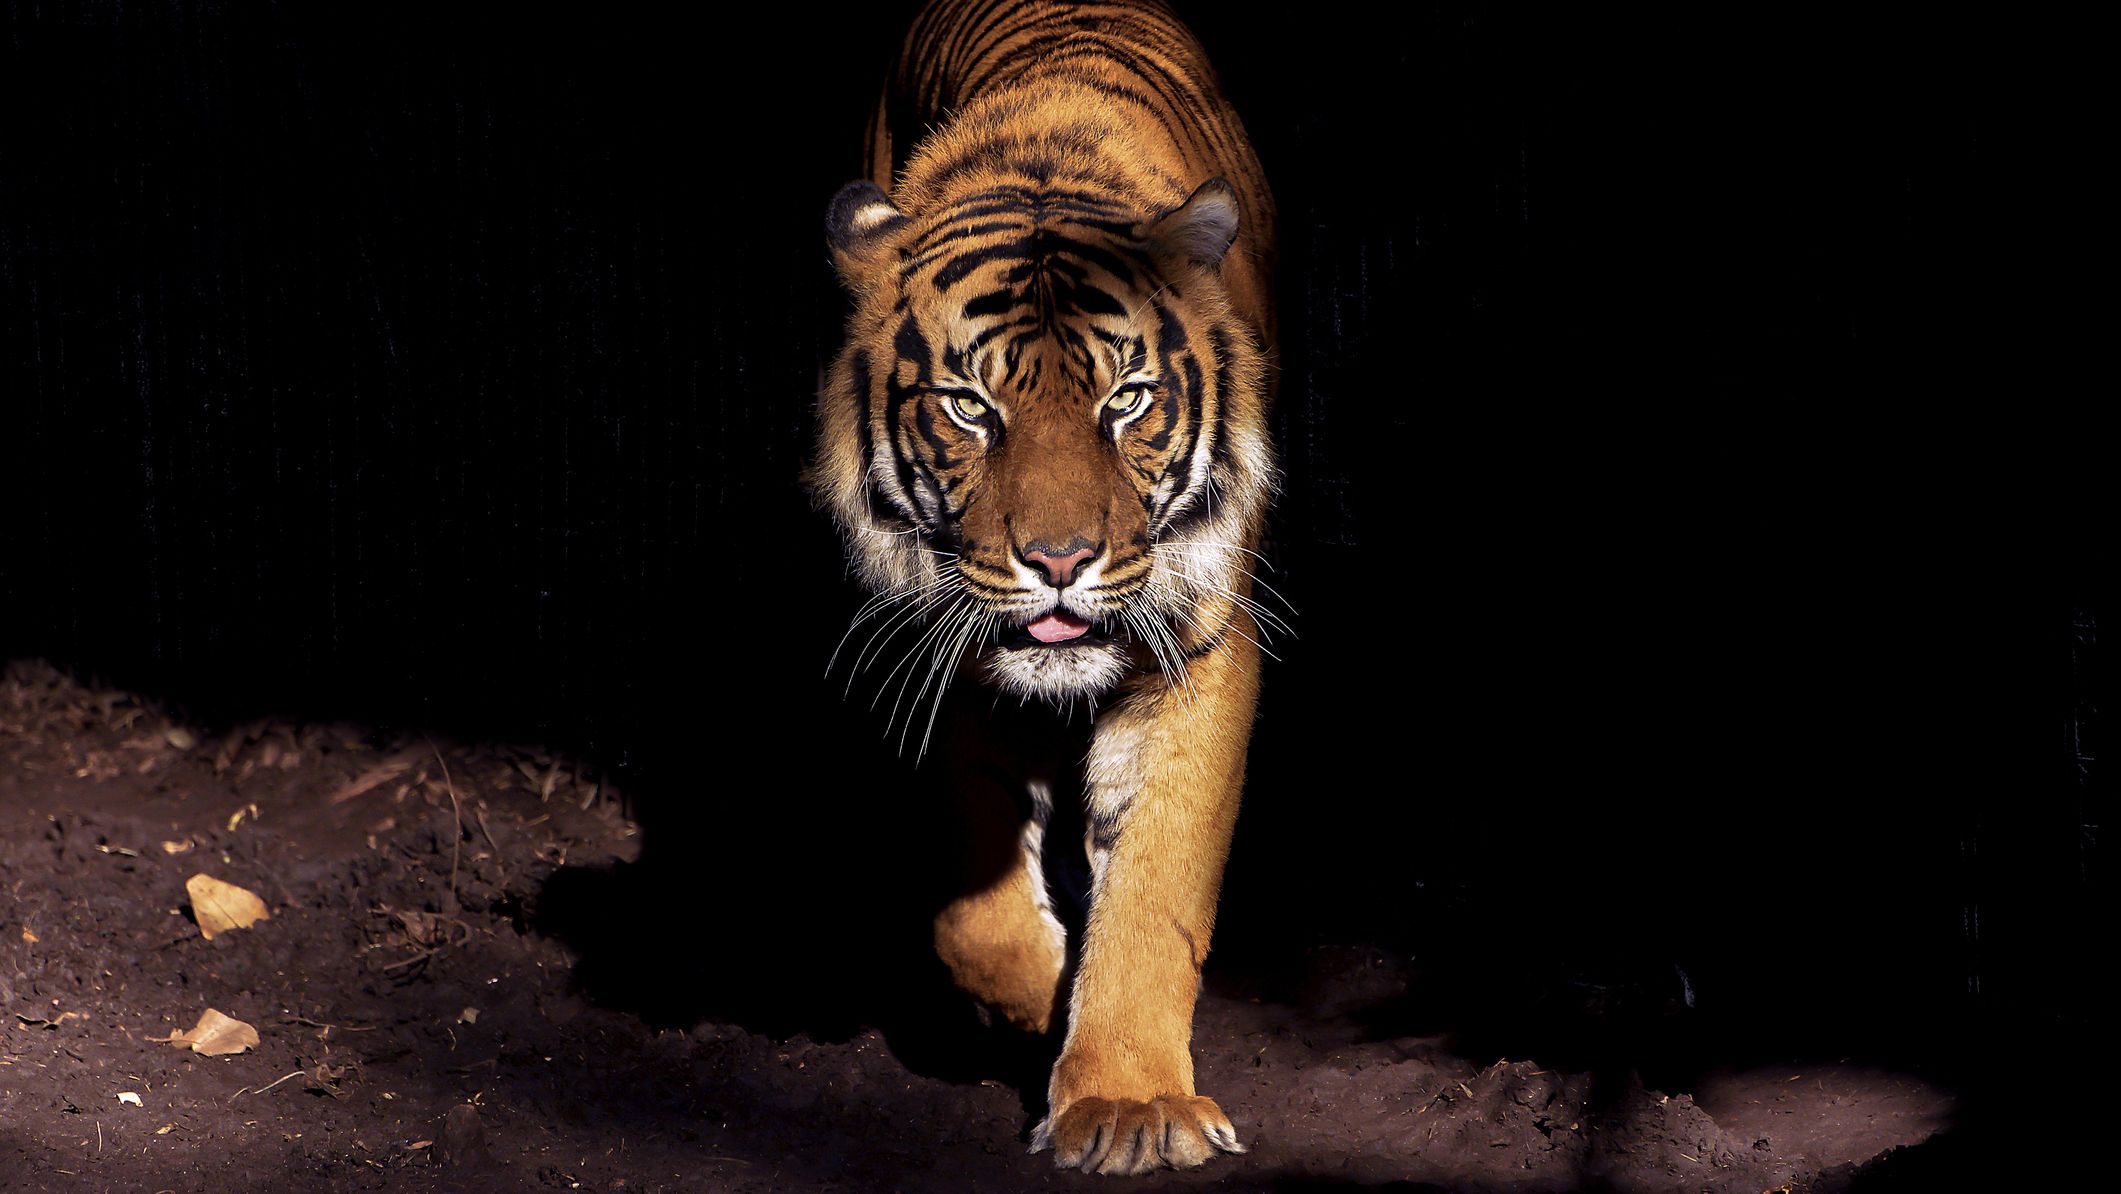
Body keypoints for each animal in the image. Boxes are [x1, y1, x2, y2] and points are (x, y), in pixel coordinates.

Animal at [810, 0, 1278, 1175]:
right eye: (971, 408)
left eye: (1128, 400)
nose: (1060, 560)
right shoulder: (940, 638)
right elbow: (970, 907)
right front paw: (1035, 1001)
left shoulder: (1199, 646)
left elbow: (1156, 888)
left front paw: (1129, 1103)